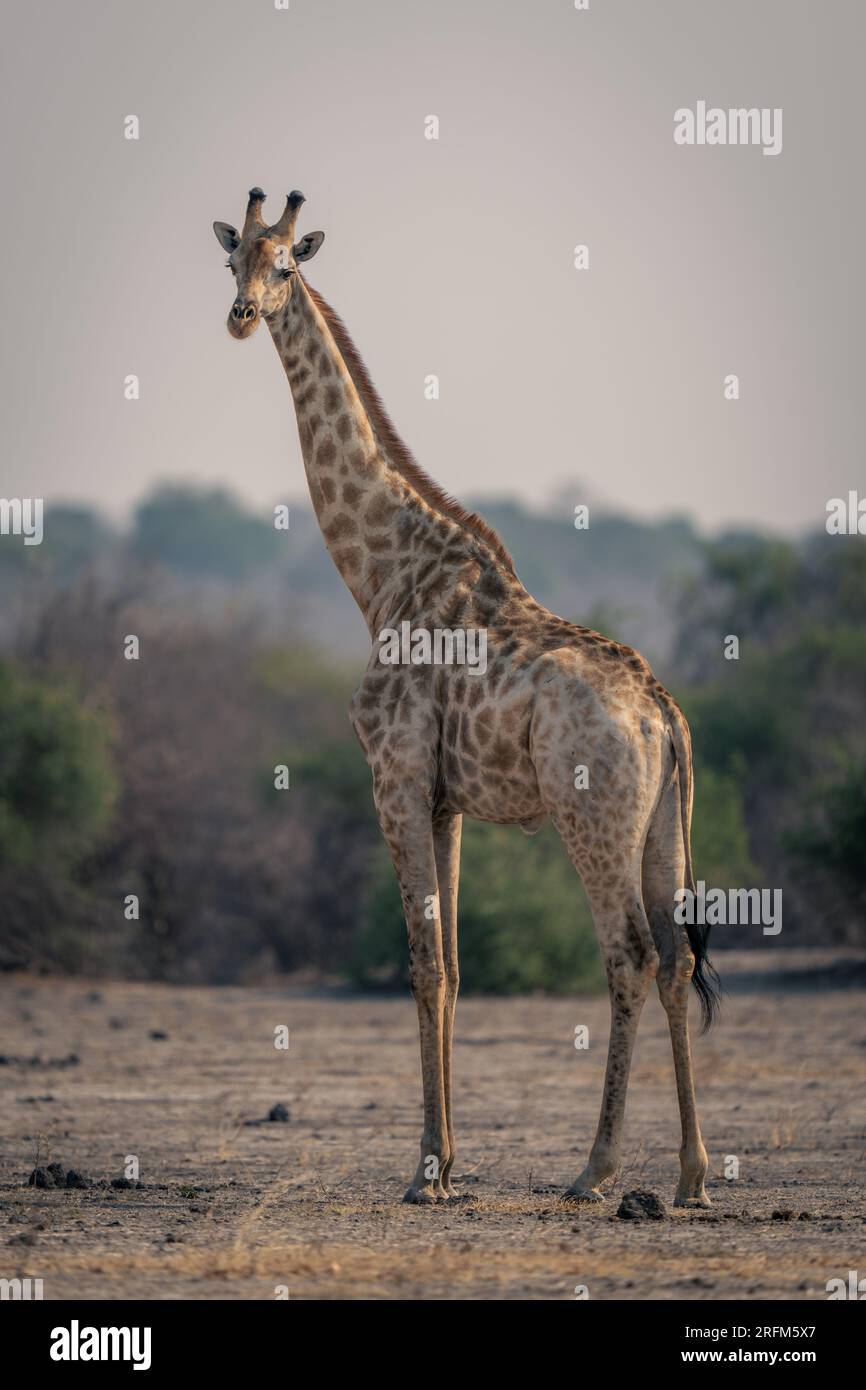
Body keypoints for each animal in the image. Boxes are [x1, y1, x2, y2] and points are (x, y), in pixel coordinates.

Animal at [213, 188, 719, 1207]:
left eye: (285, 264)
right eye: (230, 258)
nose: (241, 315)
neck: (378, 576)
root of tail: (665, 716)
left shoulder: (394, 779)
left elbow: (420, 964)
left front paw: (424, 1172)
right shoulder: (445, 800)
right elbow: (451, 968)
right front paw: (447, 1165)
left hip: (591, 816)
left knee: (630, 954)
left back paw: (595, 1170)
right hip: (663, 826)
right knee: (678, 956)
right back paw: (690, 1174)